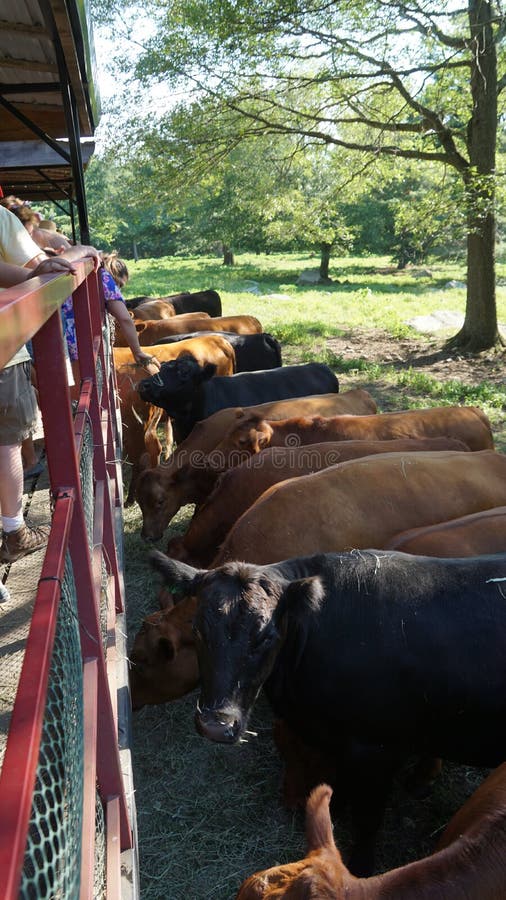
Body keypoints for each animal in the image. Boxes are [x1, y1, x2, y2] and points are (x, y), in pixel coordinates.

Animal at [113, 336, 235, 505]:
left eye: (183, 373)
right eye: (163, 369)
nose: (144, 385)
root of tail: (218, 339)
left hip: (136, 428)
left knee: (143, 455)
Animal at [150, 548, 506, 875]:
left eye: (266, 636)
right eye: (197, 629)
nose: (216, 725)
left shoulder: (377, 749)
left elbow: (367, 819)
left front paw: (360, 867)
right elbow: (338, 788)